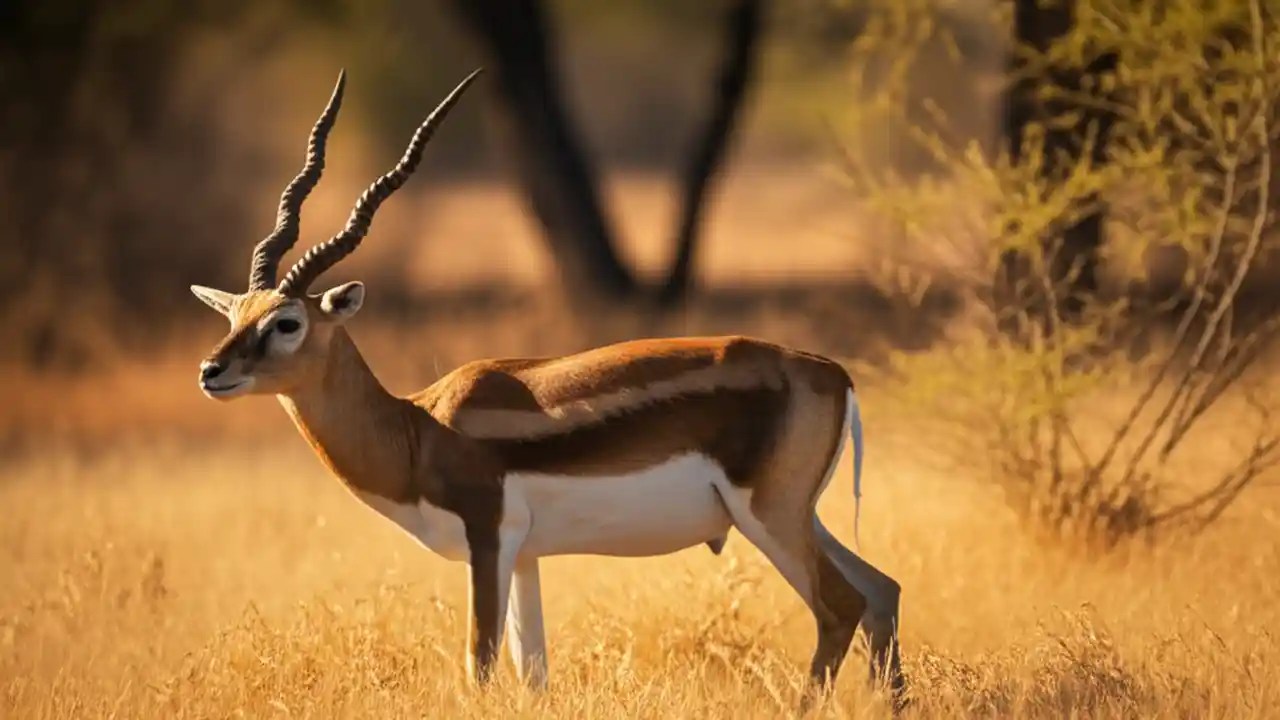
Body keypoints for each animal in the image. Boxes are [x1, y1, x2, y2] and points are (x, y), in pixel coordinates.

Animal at [190, 69, 905, 699]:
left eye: (287, 323)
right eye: (235, 315)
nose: (212, 372)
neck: (418, 430)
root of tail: (829, 371)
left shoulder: (488, 541)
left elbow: (479, 667)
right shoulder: (526, 556)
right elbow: (533, 673)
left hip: (770, 516)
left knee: (841, 606)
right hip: (799, 515)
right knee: (882, 591)